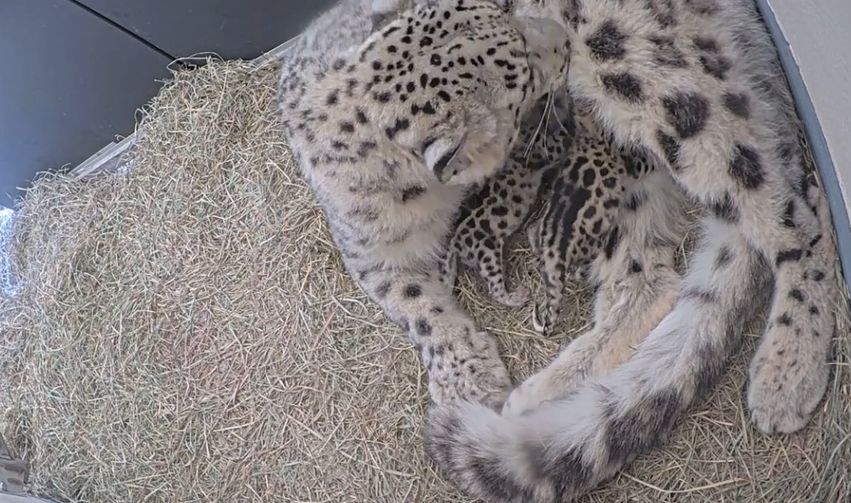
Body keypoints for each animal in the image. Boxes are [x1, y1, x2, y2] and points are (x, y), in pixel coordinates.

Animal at [278, 0, 571, 408]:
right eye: (526, 76)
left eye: (504, 9)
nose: (567, 39)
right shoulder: (375, 256)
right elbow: (415, 304)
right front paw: (471, 377)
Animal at [424, 0, 842, 501]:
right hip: (628, 164)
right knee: (649, 279)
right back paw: (539, 392)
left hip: (648, 72)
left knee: (798, 214)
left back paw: (786, 375)